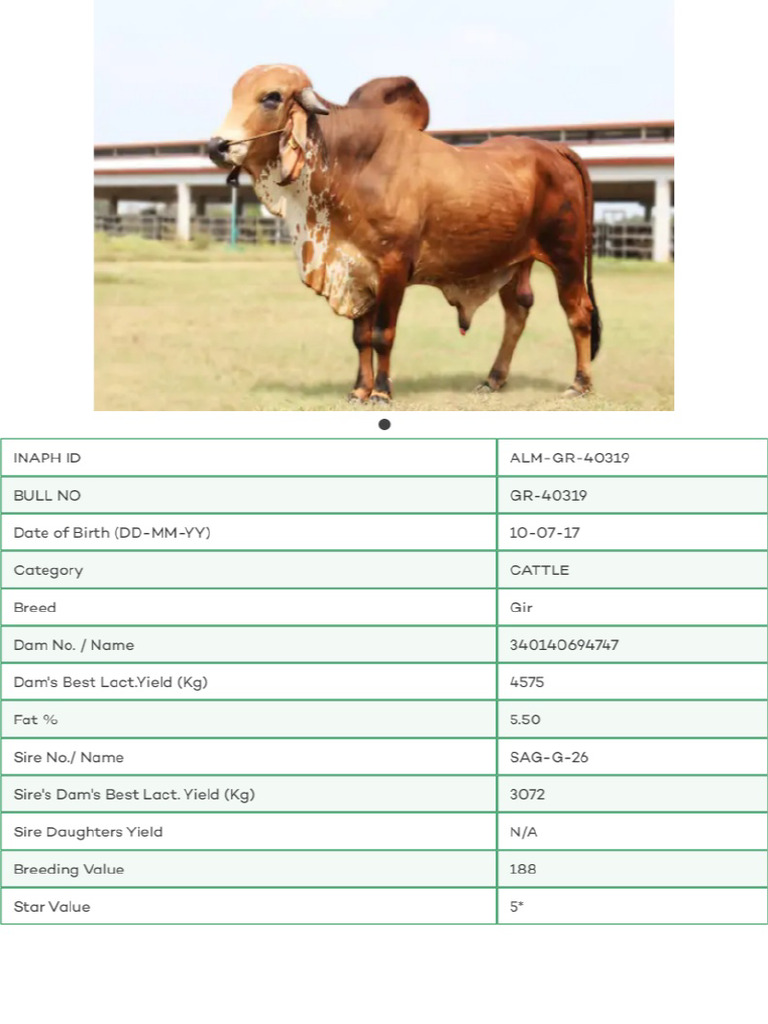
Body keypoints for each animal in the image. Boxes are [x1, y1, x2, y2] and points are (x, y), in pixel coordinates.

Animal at [207, 63, 601, 404]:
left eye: (271, 97)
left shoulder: (392, 268)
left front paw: (381, 392)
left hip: (566, 256)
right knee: (517, 314)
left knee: (579, 313)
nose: (216, 146)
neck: (347, 165)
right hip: (513, 262)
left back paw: (579, 384)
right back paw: (493, 379)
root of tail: (554, 148)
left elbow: (383, 335)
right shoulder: (355, 271)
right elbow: (361, 337)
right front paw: (359, 390)